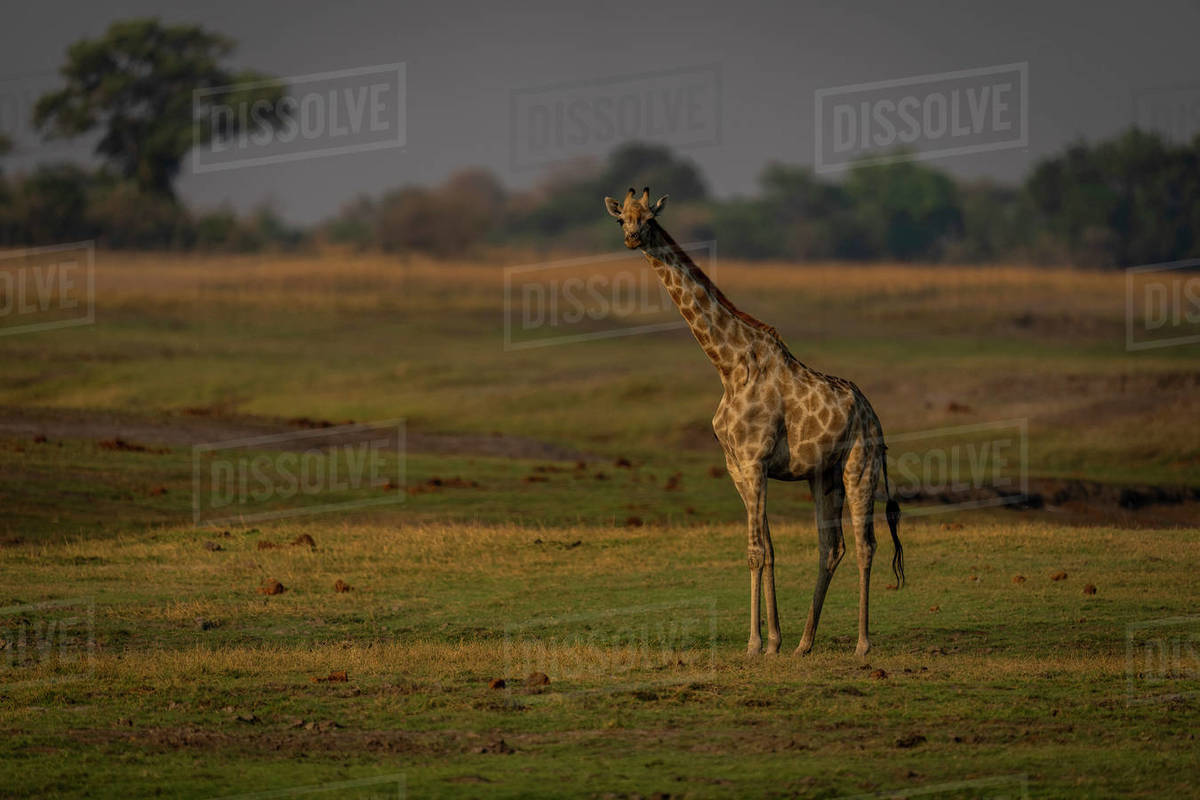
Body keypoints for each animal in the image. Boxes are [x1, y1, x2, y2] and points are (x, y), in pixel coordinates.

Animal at [604, 187, 904, 657]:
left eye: (649, 218)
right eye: (622, 219)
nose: (633, 238)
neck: (729, 367)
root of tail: (874, 416)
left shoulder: (754, 460)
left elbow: (758, 550)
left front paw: (754, 643)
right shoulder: (737, 465)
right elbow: (765, 548)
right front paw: (774, 641)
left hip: (861, 464)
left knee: (865, 544)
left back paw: (862, 644)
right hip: (823, 474)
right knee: (831, 546)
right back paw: (804, 643)